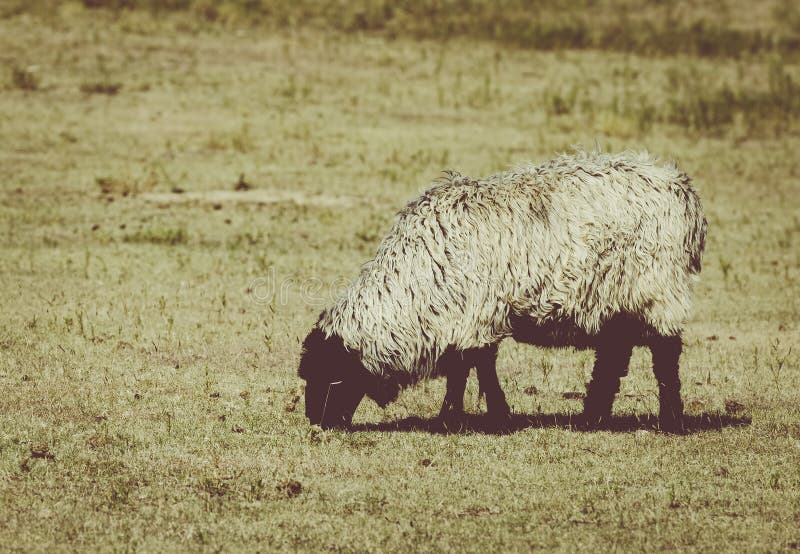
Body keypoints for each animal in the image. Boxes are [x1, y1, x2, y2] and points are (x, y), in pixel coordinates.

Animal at [298, 149, 707, 432]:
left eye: (331, 376)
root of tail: (683, 192)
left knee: (665, 355)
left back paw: (671, 422)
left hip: (657, 286)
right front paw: (481, 415)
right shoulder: (471, 319)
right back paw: (592, 417)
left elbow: (470, 369)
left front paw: (465, 418)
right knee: (613, 356)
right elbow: (475, 368)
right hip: (615, 297)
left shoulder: (475, 315)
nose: (317, 422)